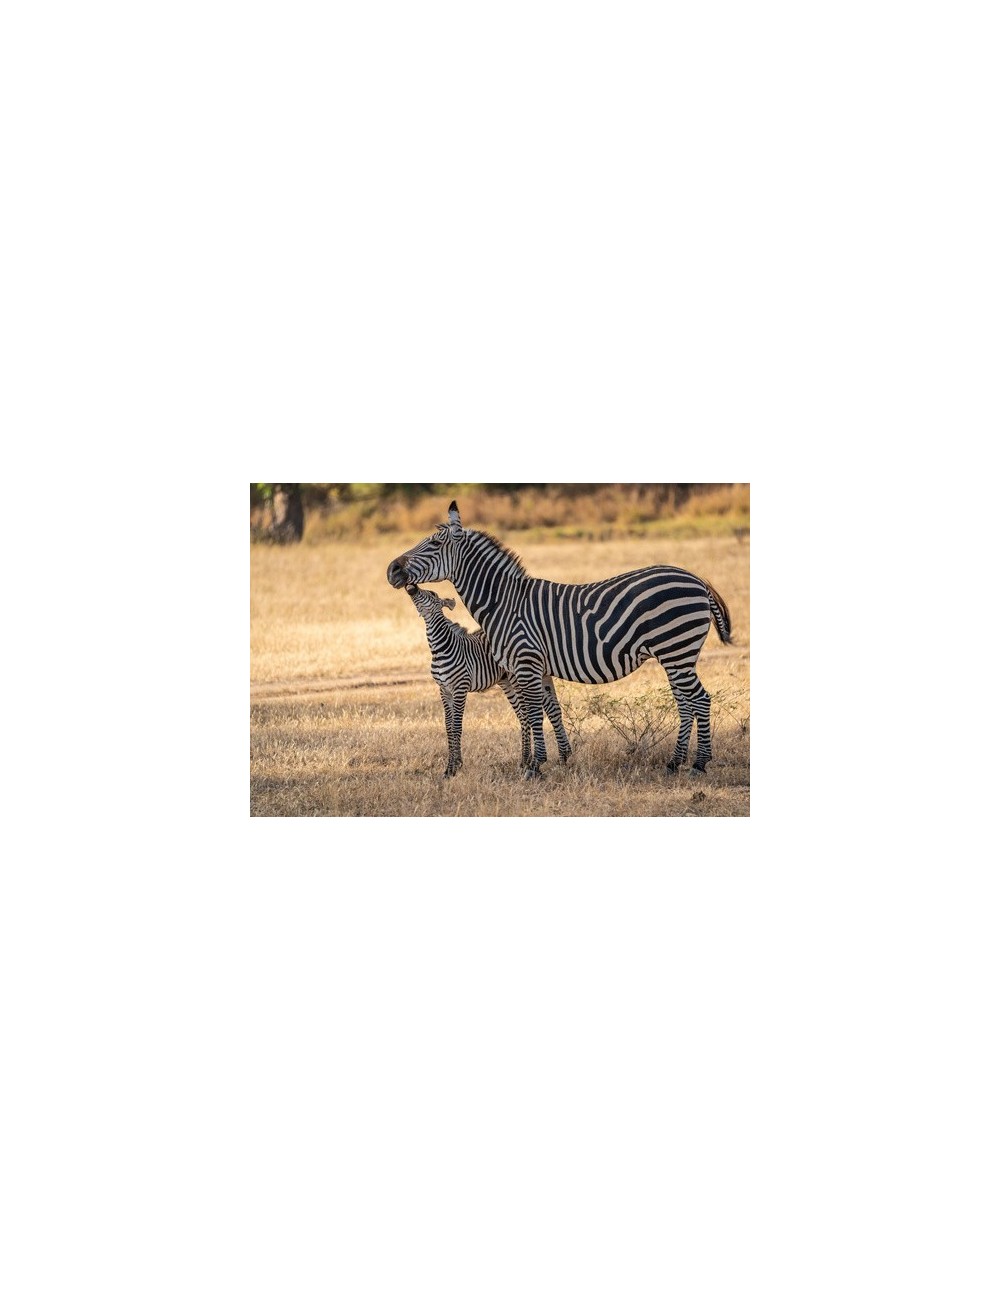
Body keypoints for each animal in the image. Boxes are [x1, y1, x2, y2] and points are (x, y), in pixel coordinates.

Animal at [404, 582, 571, 777]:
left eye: (431, 593)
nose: (412, 586)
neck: (440, 648)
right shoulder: (444, 690)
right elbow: (448, 726)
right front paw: (451, 766)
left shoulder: (460, 688)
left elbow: (457, 726)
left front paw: (454, 768)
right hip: (507, 682)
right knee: (526, 715)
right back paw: (527, 760)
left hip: (519, 678)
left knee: (530, 714)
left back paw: (532, 760)